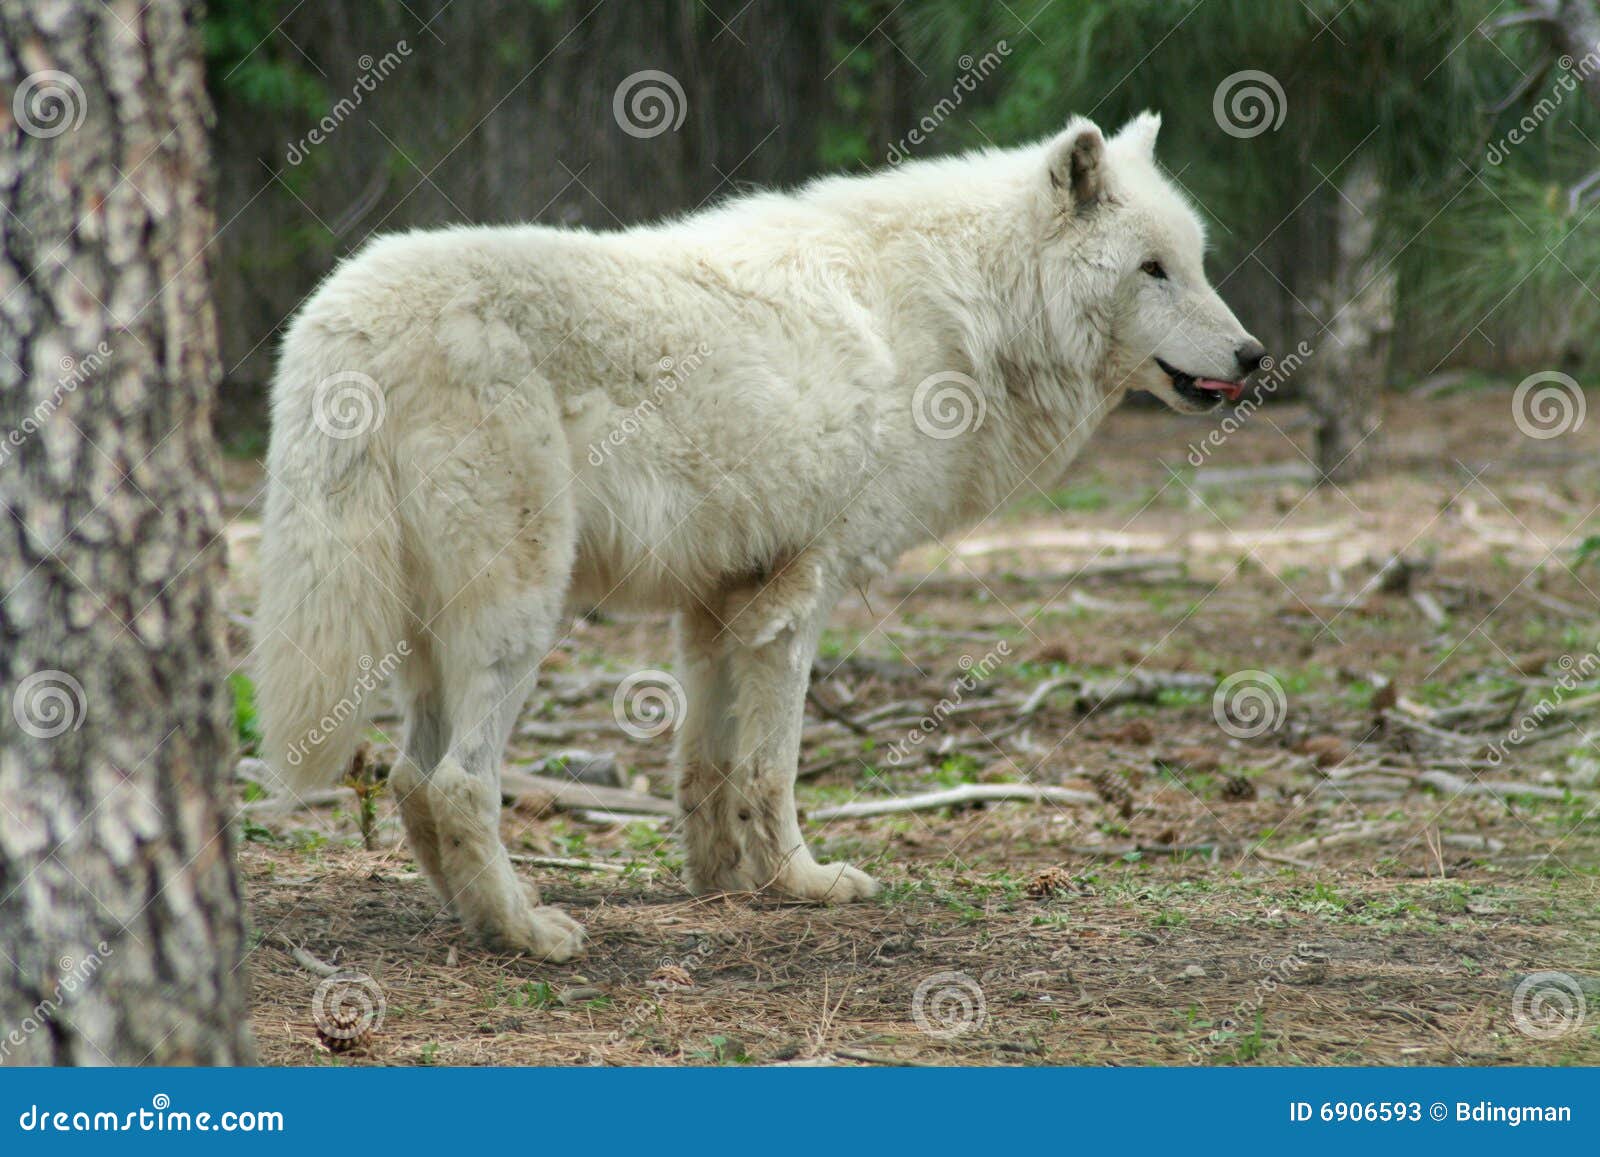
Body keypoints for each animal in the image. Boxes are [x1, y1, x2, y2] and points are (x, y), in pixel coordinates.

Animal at [255, 112, 1263, 959]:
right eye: (1152, 269)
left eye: (1197, 262)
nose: (1254, 355)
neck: (966, 314)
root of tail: (338, 318)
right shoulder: (800, 591)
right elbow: (772, 770)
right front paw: (799, 881)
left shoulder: (718, 599)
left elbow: (705, 766)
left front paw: (720, 885)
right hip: (517, 613)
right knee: (460, 785)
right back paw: (530, 933)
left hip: (431, 634)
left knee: (409, 780)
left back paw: (473, 917)